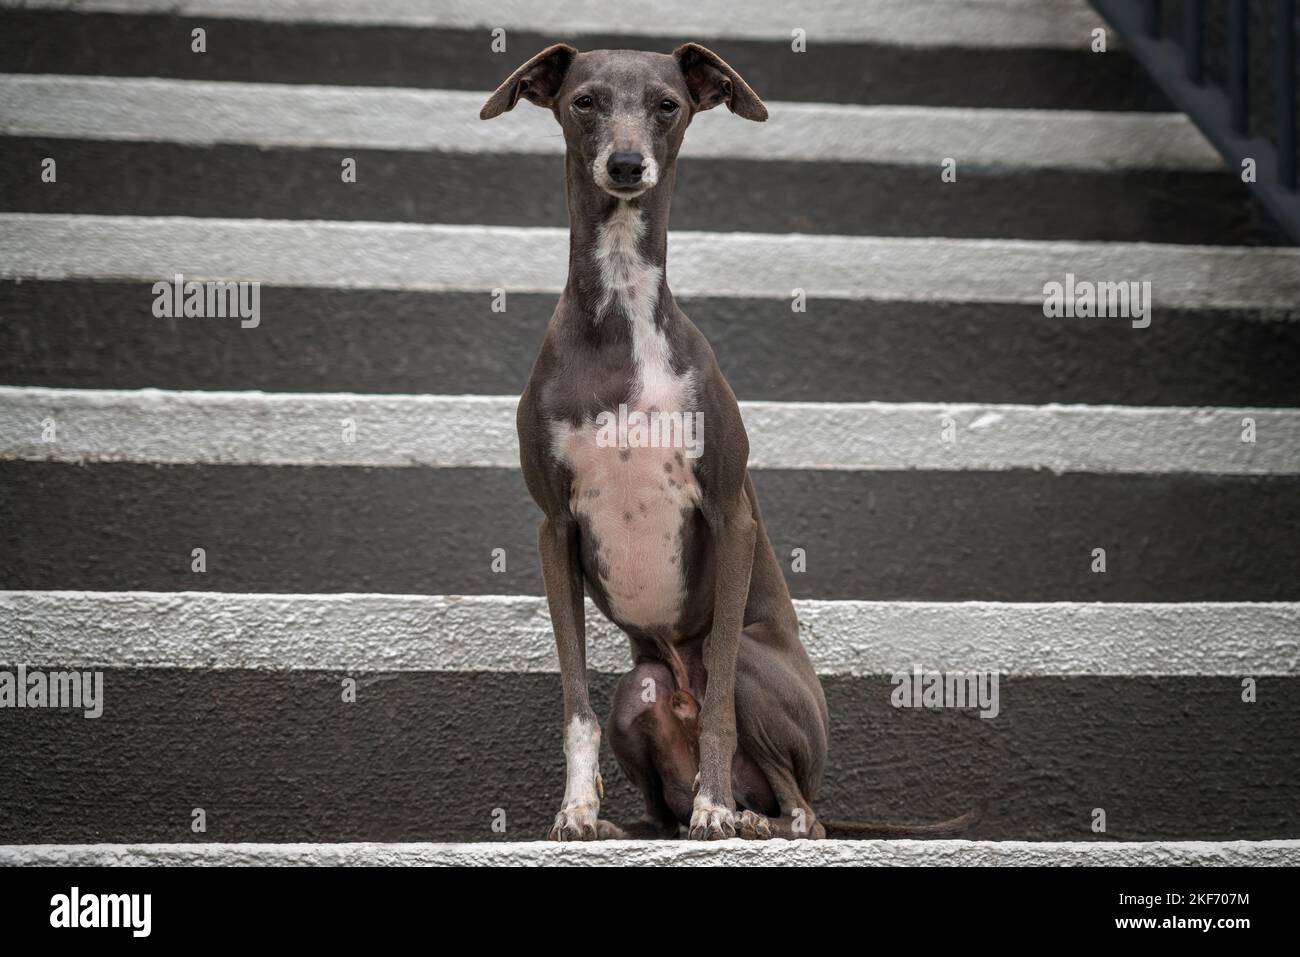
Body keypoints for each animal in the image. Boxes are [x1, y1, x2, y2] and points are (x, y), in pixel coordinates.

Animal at [483, 41, 977, 842]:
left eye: (668, 105)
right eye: (584, 101)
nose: (627, 165)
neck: (622, 320)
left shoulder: (728, 510)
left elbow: (717, 711)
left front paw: (713, 806)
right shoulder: (554, 527)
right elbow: (575, 699)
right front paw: (577, 809)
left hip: (747, 665)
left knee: (799, 810)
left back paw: (738, 813)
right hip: (641, 689)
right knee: (661, 790)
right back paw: (641, 822)